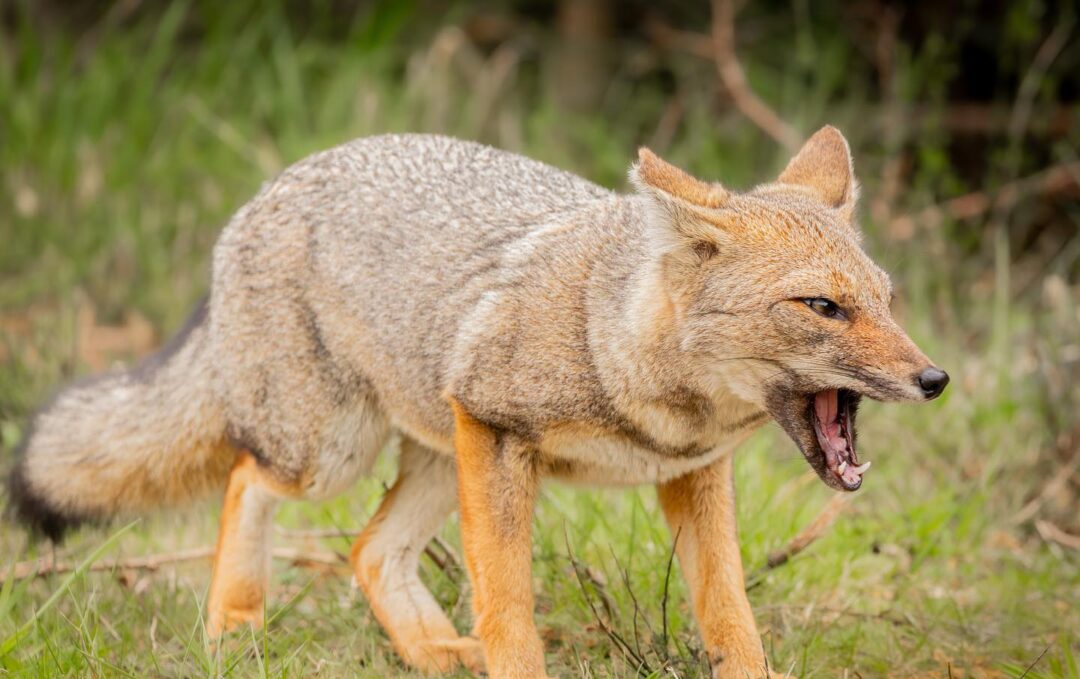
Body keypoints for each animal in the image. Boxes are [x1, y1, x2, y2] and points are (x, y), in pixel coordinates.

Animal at [8, 126, 948, 678]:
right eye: (822, 307)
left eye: (888, 299)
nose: (935, 379)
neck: (614, 350)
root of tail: (277, 182)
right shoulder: (497, 432)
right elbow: (509, 608)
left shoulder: (693, 474)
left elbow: (731, 617)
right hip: (330, 454)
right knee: (247, 480)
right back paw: (234, 625)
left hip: (430, 457)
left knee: (367, 549)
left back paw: (428, 651)